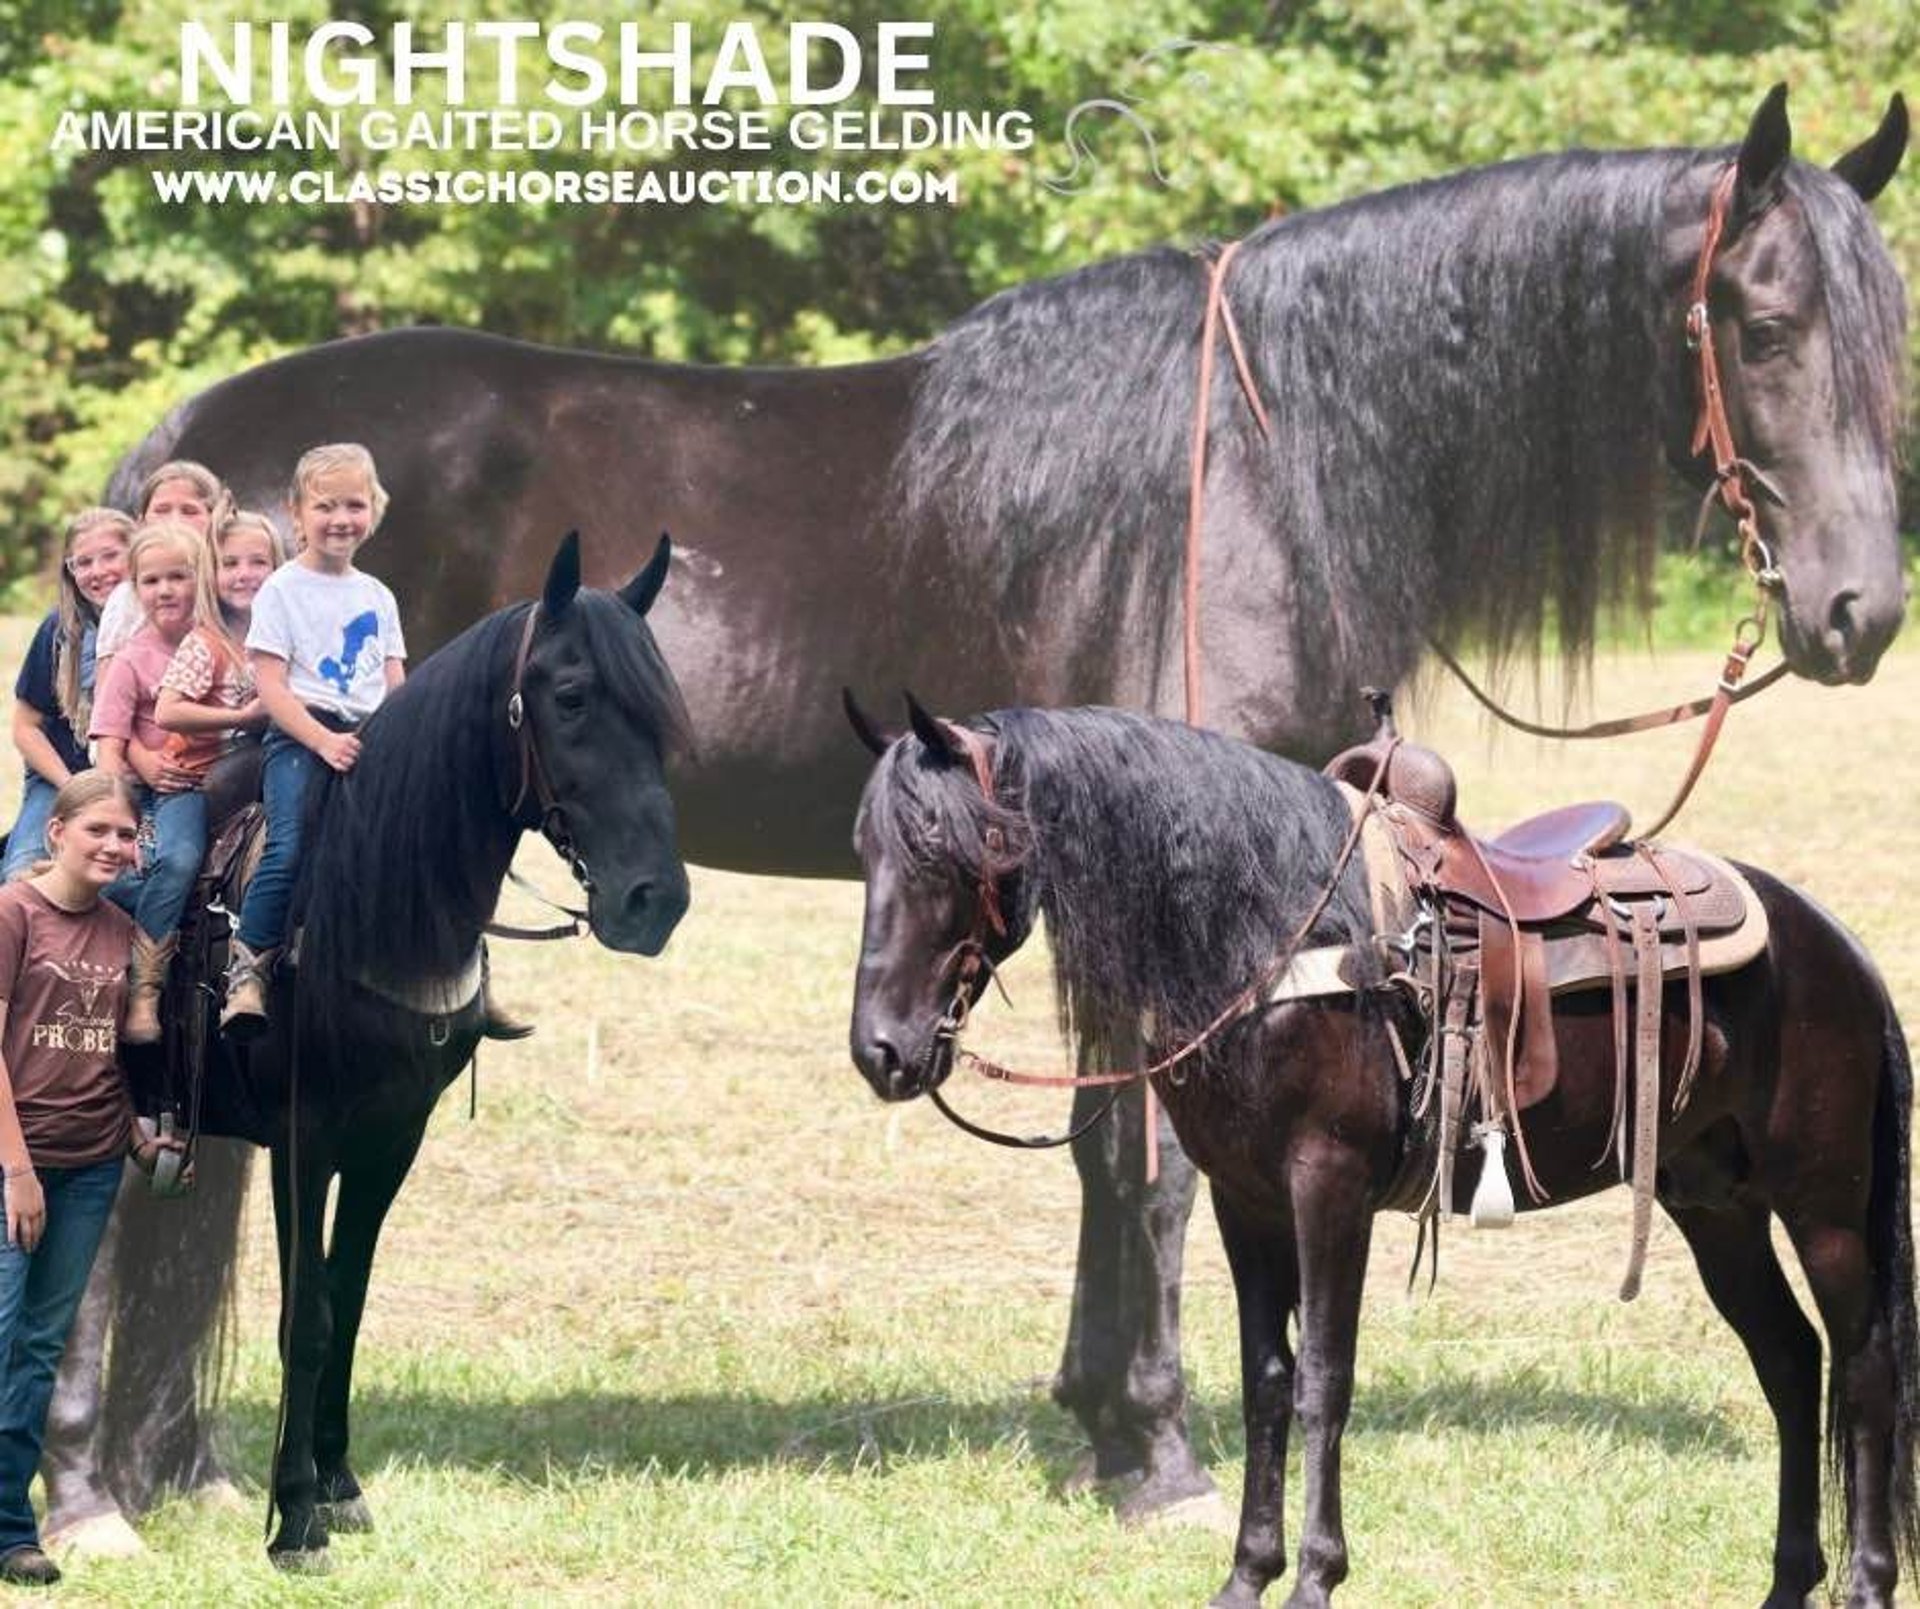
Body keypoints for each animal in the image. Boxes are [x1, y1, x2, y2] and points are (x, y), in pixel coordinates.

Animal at [128, 533, 692, 1569]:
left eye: (660, 710)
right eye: (572, 697)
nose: (654, 902)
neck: (363, 899)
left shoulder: (393, 1136)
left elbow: (347, 1300)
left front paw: (339, 1487)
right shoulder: (304, 1138)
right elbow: (305, 1315)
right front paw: (294, 1518)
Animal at [846, 697, 1920, 1606]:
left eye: (954, 846)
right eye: (865, 849)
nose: (882, 1049)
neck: (1273, 932)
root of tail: (1837, 944)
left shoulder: (1330, 1187)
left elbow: (1326, 1377)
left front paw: (1316, 1576)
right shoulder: (1246, 1199)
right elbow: (1267, 1380)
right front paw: (1247, 1574)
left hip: (1822, 1205)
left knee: (1863, 1365)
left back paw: (1867, 1581)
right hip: (1715, 1207)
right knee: (1791, 1361)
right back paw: (1787, 1583)